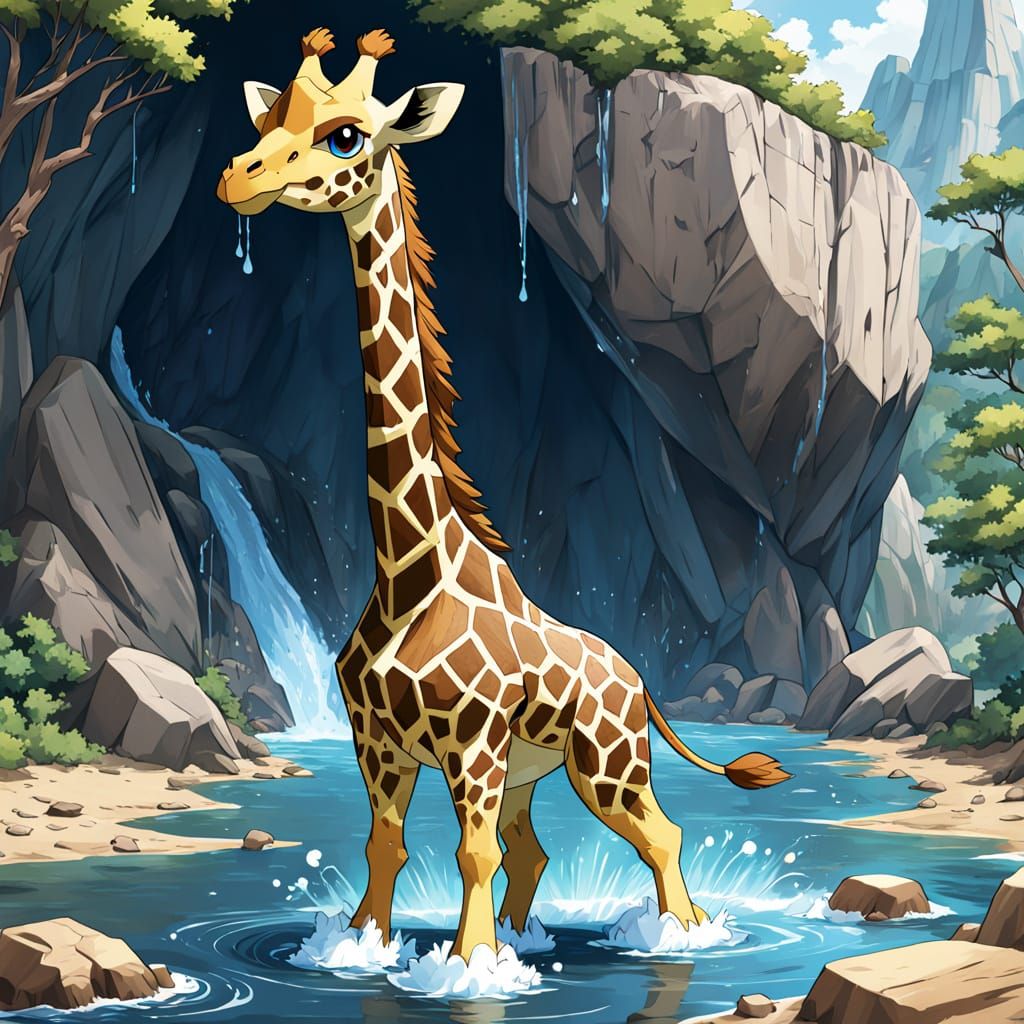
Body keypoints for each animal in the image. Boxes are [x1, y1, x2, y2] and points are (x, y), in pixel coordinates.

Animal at [216, 27, 791, 962]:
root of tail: (639, 681)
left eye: (347, 137)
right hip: (536, 770)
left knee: (657, 835)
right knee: (537, 851)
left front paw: (469, 967)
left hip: (606, 760)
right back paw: (534, 939)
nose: (237, 177)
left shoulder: (472, 740)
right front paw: (369, 950)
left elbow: (469, 853)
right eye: (269, 120)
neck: (406, 573)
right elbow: (386, 845)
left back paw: (679, 936)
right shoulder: (378, 741)